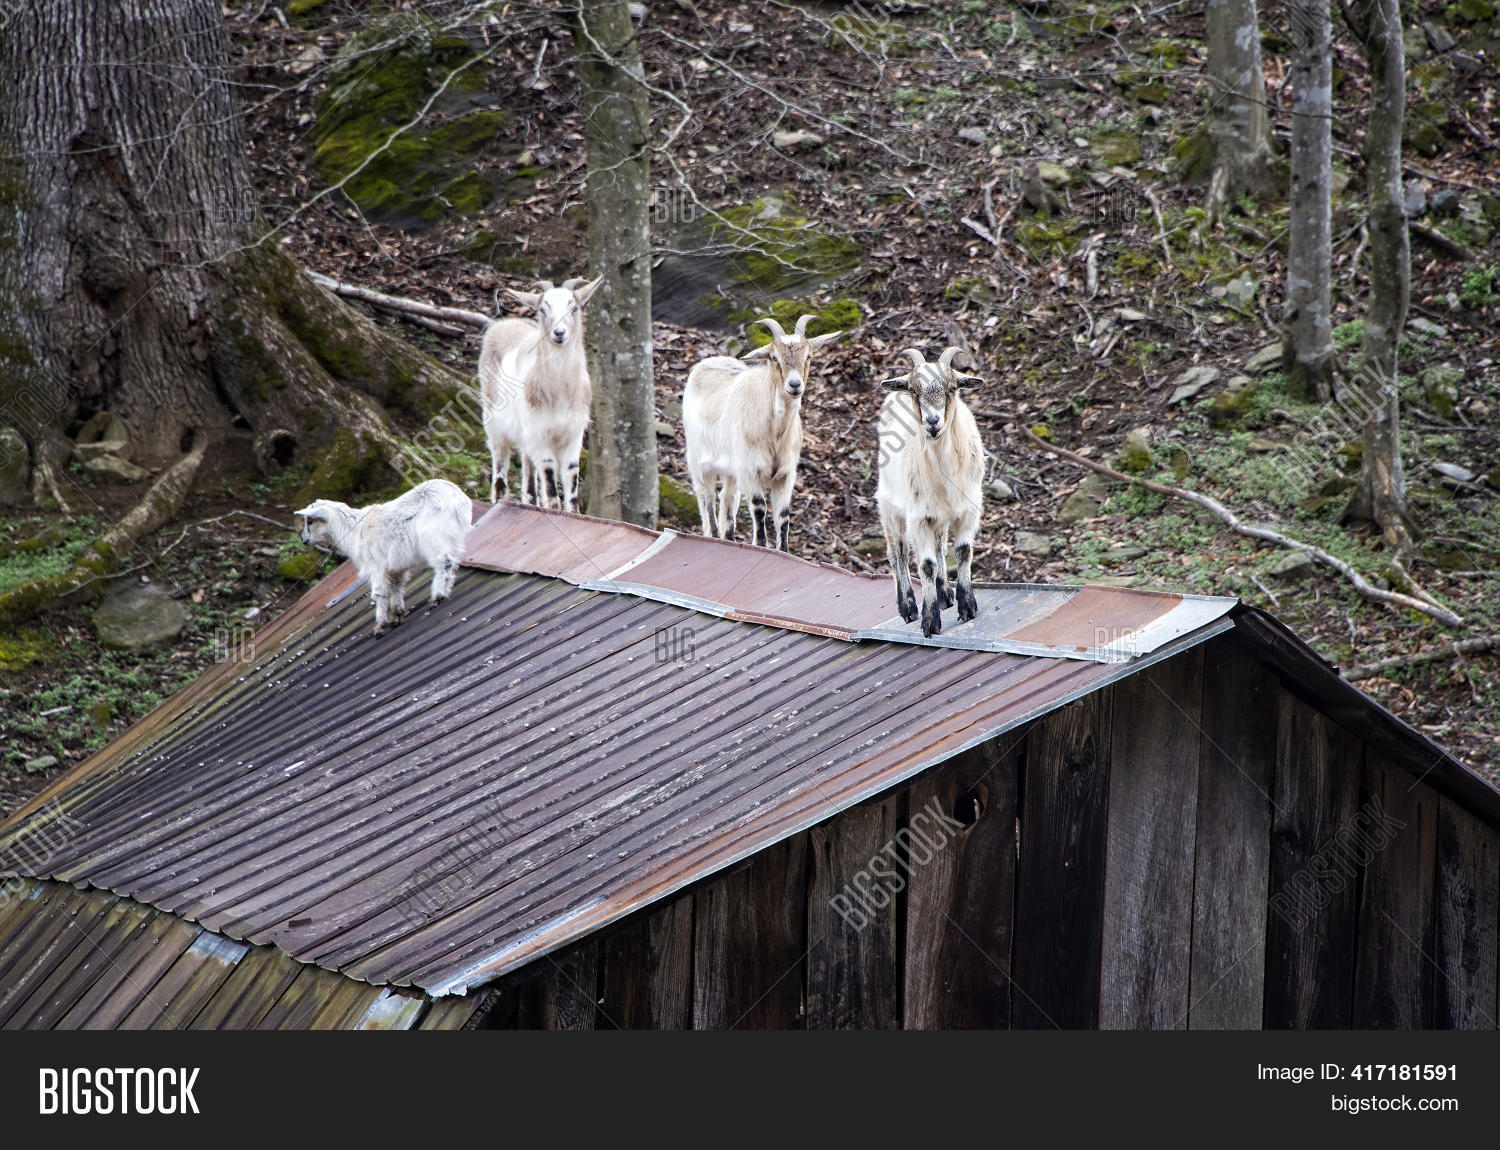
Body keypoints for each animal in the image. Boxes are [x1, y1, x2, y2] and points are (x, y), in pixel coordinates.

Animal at [294, 478, 472, 636]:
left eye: (310, 521)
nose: (303, 539)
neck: (353, 530)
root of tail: (458, 498)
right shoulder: (395, 567)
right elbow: (396, 587)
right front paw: (397, 615)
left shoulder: (376, 566)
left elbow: (380, 593)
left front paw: (380, 626)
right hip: (452, 538)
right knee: (453, 564)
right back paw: (445, 592)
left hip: (434, 538)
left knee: (444, 562)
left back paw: (437, 597)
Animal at [478, 275, 601, 512]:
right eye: (544, 309)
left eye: (574, 307)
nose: (559, 333)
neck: (560, 392)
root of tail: (504, 324)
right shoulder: (539, 434)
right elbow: (550, 481)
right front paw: (553, 509)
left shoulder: (573, 434)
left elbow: (571, 476)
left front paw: (573, 512)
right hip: (494, 422)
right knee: (500, 466)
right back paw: (500, 499)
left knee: (528, 474)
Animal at [683, 314, 843, 549]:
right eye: (774, 357)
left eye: (809, 356)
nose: (795, 385)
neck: (774, 433)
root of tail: (705, 363)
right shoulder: (749, 470)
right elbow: (758, 509)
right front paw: (760, 545)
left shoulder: (785, 475)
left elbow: (783, 516)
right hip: (698, 459)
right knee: (706, 496)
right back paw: (712, 534)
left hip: (731, 471)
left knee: (727, 498)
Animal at [875, 346, 987, 638]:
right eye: (914, 391)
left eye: (952, 388)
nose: (933, 421)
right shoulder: (918, 517)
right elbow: (924, 564)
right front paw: (929, 620)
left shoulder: (968, 509)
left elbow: (962, 551)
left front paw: (967, 606)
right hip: (889, 506)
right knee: (898, 553)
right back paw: (907, 607)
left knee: (938, 546)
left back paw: (945, 593)